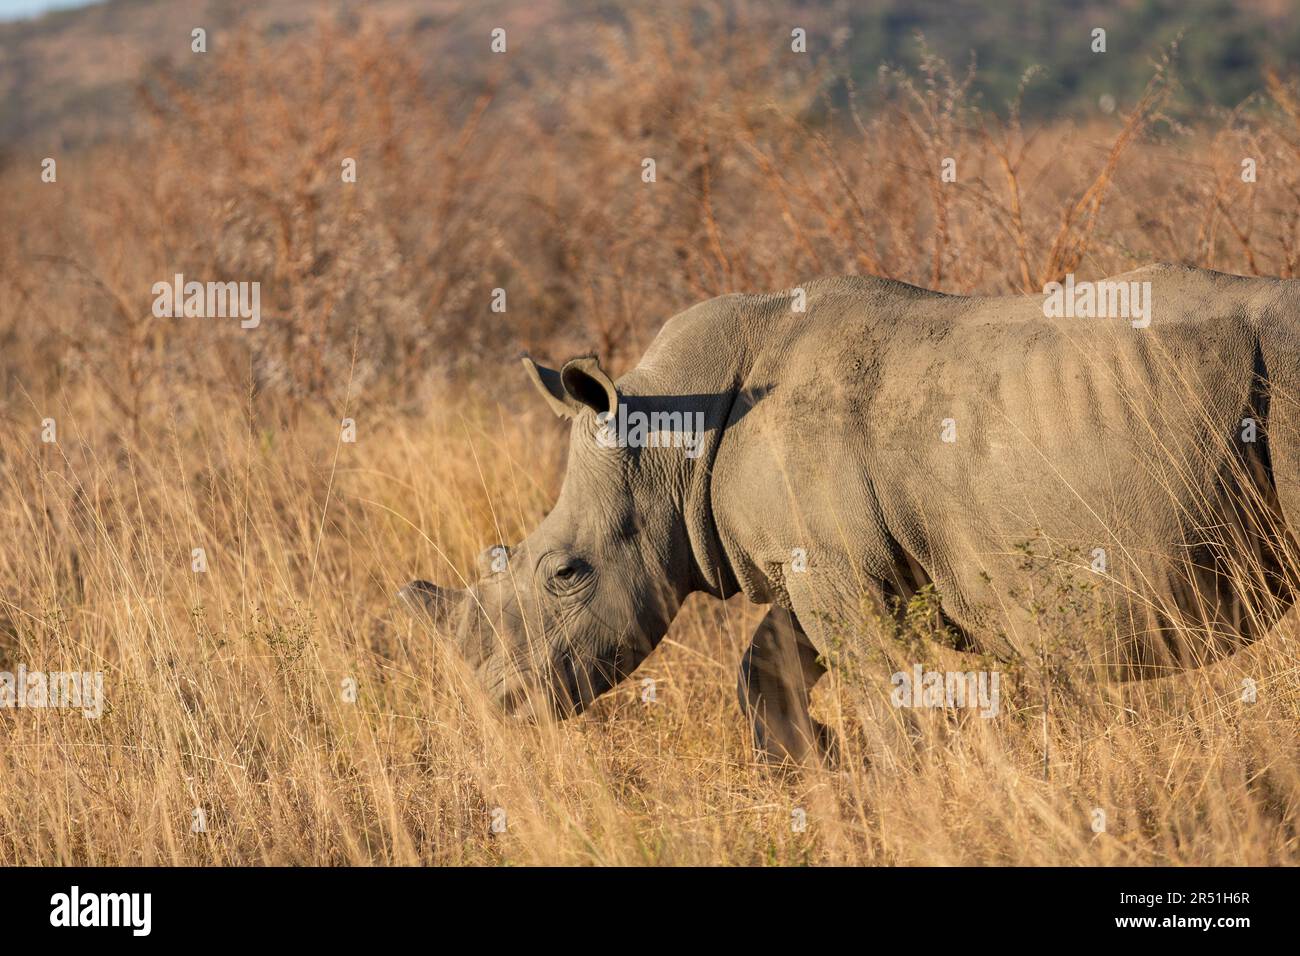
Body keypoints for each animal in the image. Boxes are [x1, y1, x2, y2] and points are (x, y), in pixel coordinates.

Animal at [403, 264, 1300, 763]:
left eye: (565, 573)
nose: (501, 707)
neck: (669, 439)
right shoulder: (817, 556)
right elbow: (766, 664)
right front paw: (817, 760)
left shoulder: (835, 566)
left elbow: (880, 681)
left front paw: (904, 783)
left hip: (1284, 381)